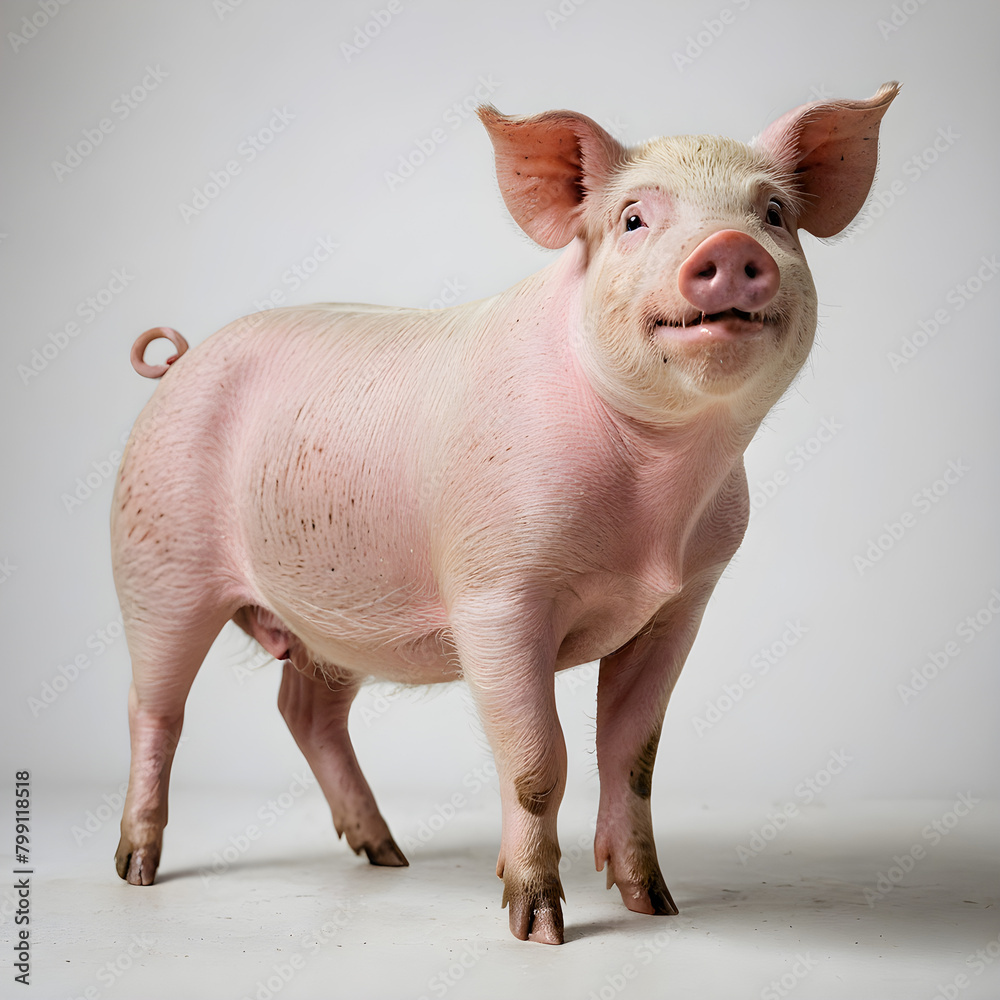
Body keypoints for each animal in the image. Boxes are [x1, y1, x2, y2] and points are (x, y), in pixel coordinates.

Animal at [111, 82, 898, 944]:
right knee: (155, 710)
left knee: (305, 710)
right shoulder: (495, 592)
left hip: (328, 621)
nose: (727, 246)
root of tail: (181, 361)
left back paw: (387, 856)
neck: (657, 499)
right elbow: (537, 761)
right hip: (157, 561)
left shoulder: (683, 600)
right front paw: (540, 929)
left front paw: (656, 906)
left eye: (774, 213)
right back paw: (138, 871)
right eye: (633, 218)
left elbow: (633, 753)